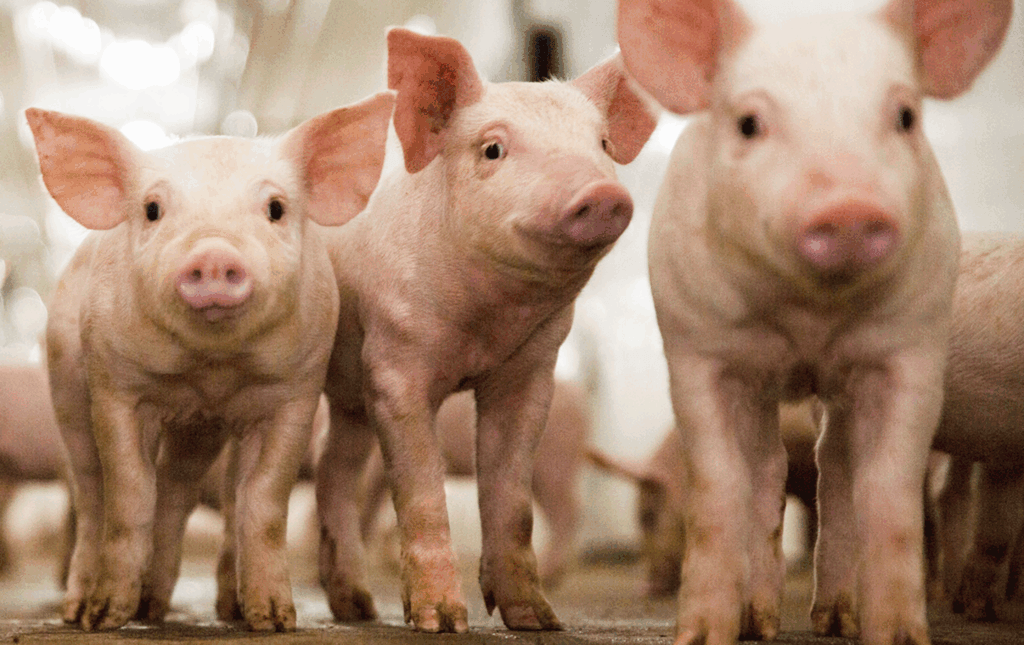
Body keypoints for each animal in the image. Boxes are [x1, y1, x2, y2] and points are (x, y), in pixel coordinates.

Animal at [27, 92, 394, 631]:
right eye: (152, 209)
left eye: (276, 208)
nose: (215, 254)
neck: (211, 371)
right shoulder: (116, 388)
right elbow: (129, 496)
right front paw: (107, 618)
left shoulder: (295, 393)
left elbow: (262, 501)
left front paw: (275, 621)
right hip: (66, 388)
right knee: (93, 495)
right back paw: (81, 611)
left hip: (199, 433)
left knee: (175, 490)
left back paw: (157, 607)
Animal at [616, 0, 1011, 643]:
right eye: (749, 123)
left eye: (905, 116)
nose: (850, 208)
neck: (809, 321)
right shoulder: (698, 351)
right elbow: (721, 486)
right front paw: (702, 634)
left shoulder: (909, 350)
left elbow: (889, 491)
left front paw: (898, 634)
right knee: (770, 470)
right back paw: (760, 622)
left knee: (835, 472)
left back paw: (834, 618)